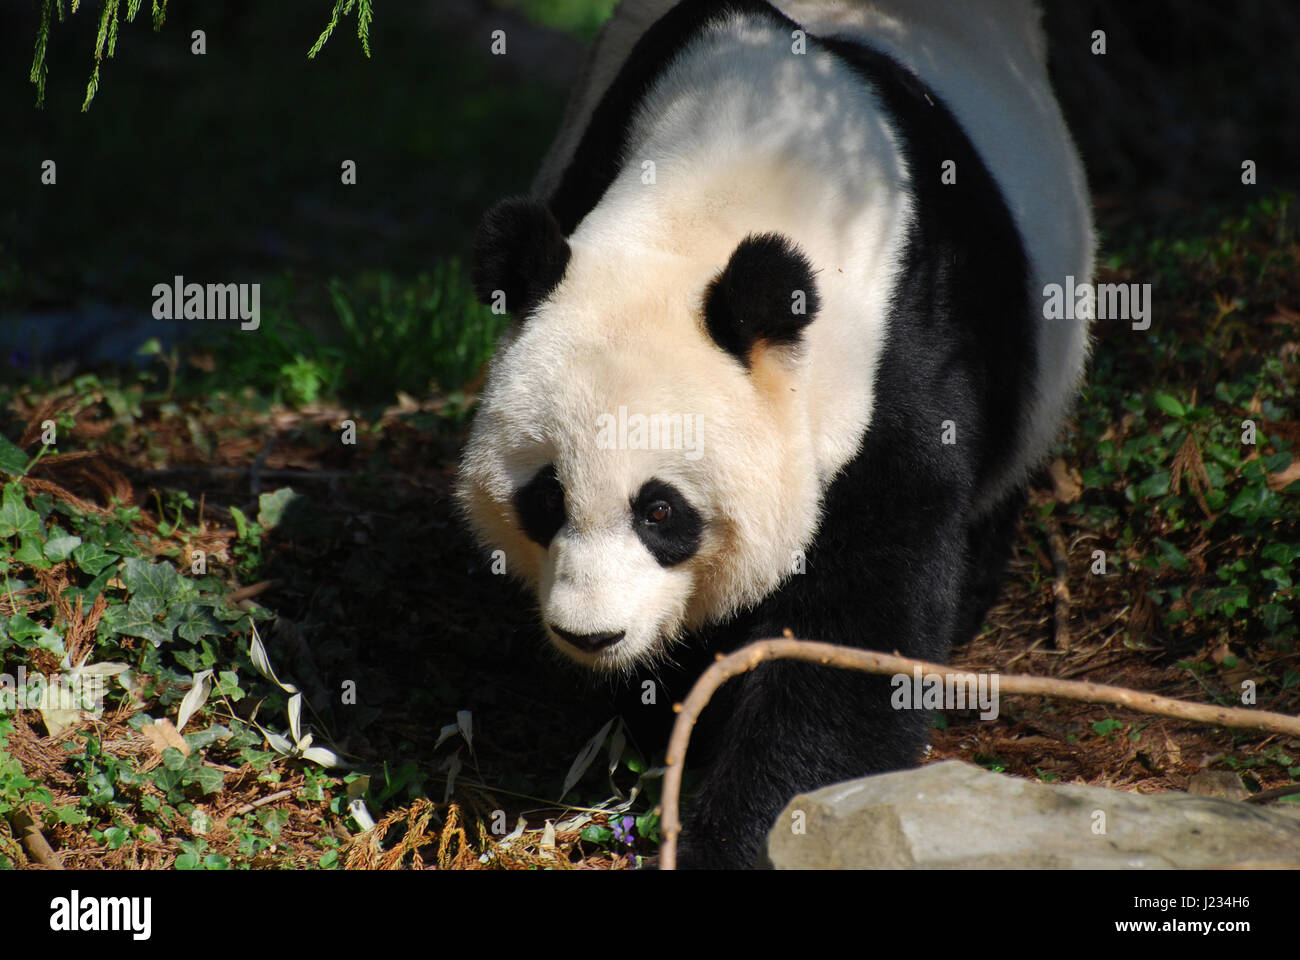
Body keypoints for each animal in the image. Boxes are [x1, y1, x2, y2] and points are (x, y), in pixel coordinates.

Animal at [458, 0, 1093, 868]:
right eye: (545, 498)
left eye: (661, 511)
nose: (592, 633)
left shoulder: (901, 356)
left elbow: (855, 618)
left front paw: (745, 829)